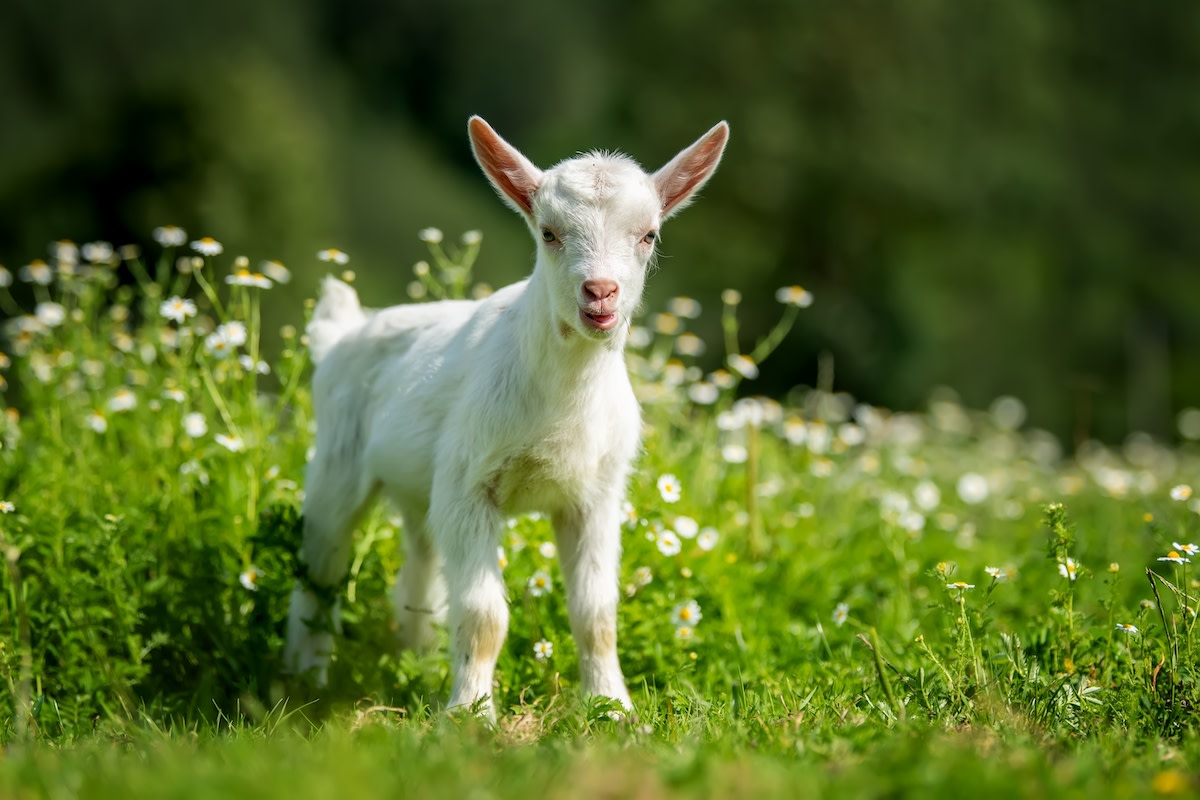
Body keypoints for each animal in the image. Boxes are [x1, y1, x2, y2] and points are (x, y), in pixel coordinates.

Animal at [284, 116, 729, 719]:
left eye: (649, 235)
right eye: (548, 233)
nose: (600, 294)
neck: (564, 398)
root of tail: (341, 333)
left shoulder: (596, 496)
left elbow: (596, 614)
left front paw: (613, 708)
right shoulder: (470, 486)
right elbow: (483, 615)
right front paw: (470, 714)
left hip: (420, 489)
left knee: (420, 568)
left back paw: (416, 661)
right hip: (338, 460)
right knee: (320, 570)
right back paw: (304, 679)